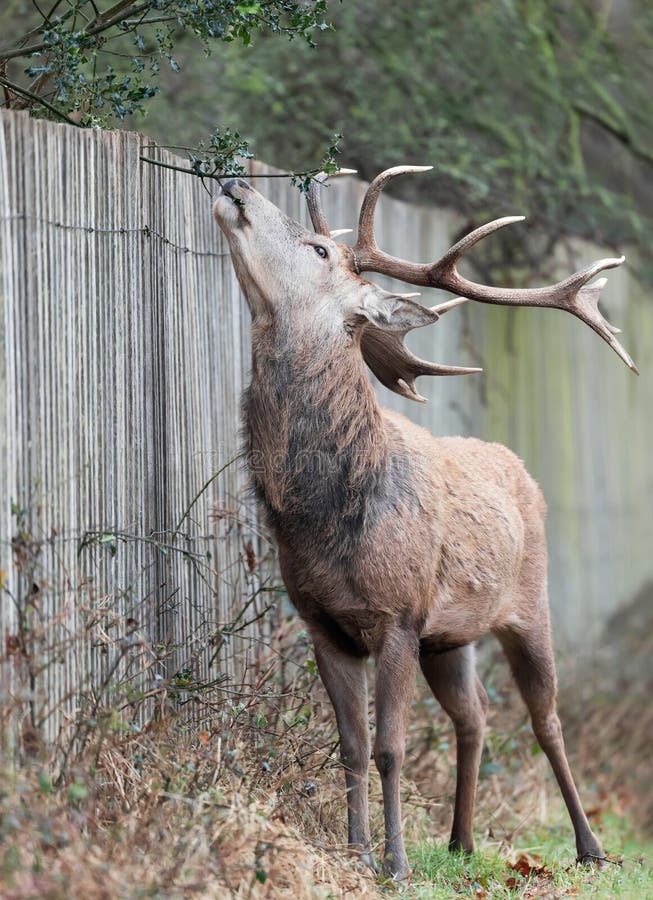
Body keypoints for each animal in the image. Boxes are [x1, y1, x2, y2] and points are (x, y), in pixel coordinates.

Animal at [212, 166, 636, 881]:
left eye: (318, 250)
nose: (235, 186)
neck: (330, 515)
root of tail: (519, 466)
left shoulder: (399, 616)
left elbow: (391, 747)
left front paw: (396, 864)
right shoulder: (325, 624)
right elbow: (352, 746)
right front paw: (357, 852)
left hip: (530, 603)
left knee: (545, 719)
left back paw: (590, 846)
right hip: (450, 638)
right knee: (476, 714)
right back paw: (461, 840)